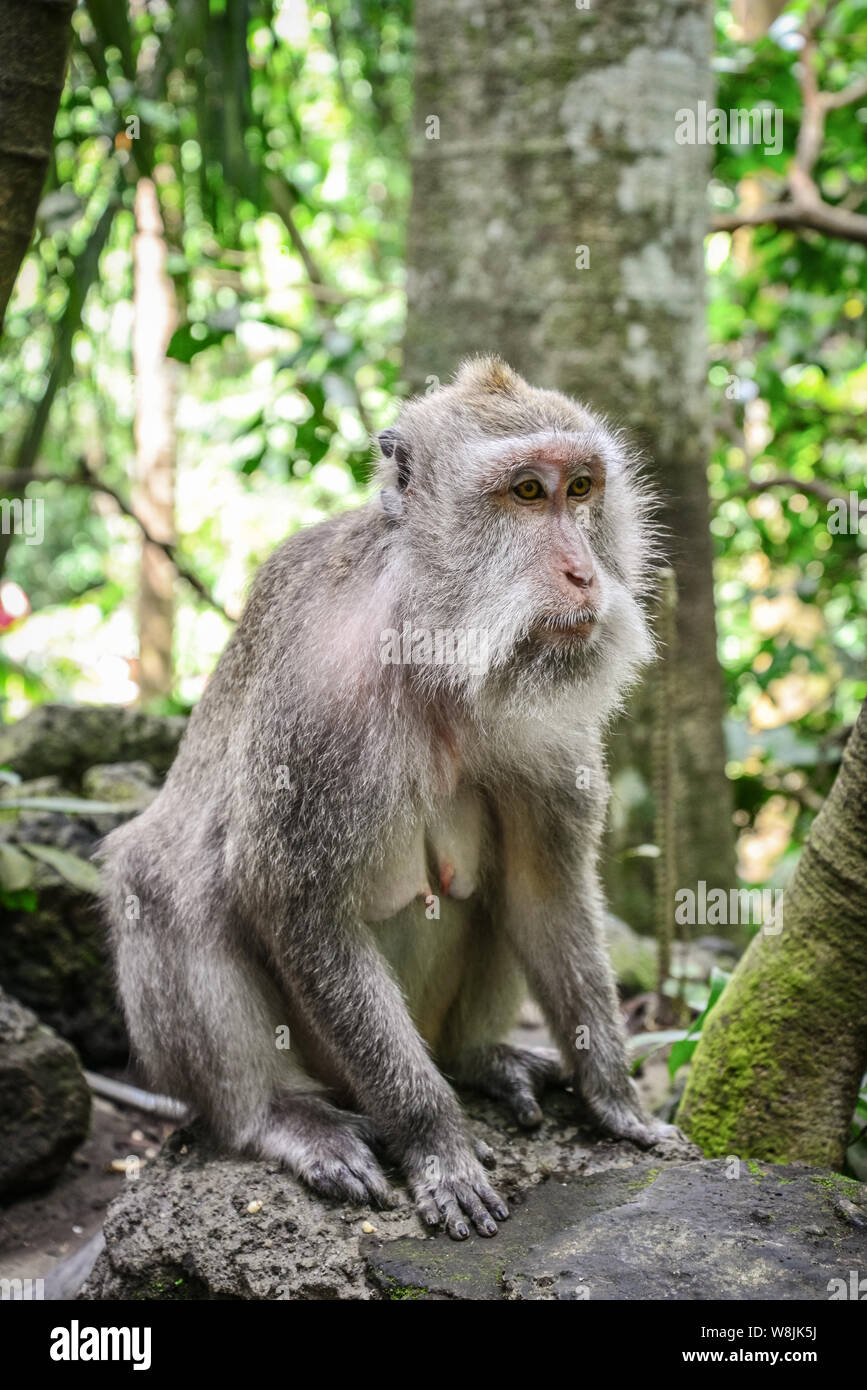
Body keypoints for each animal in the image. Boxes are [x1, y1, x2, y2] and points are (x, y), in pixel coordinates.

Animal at [99, 356, 682, 1241]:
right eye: (525, 492)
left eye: (581, 488)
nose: (584, 573)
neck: (435, 645)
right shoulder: (317, 698)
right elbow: (295, 902)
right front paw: (433, 1142)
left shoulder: (543, 724)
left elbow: (544, 890)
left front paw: (614, 1098)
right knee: (168, 886)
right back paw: (279, 1115)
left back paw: (479, 1060)